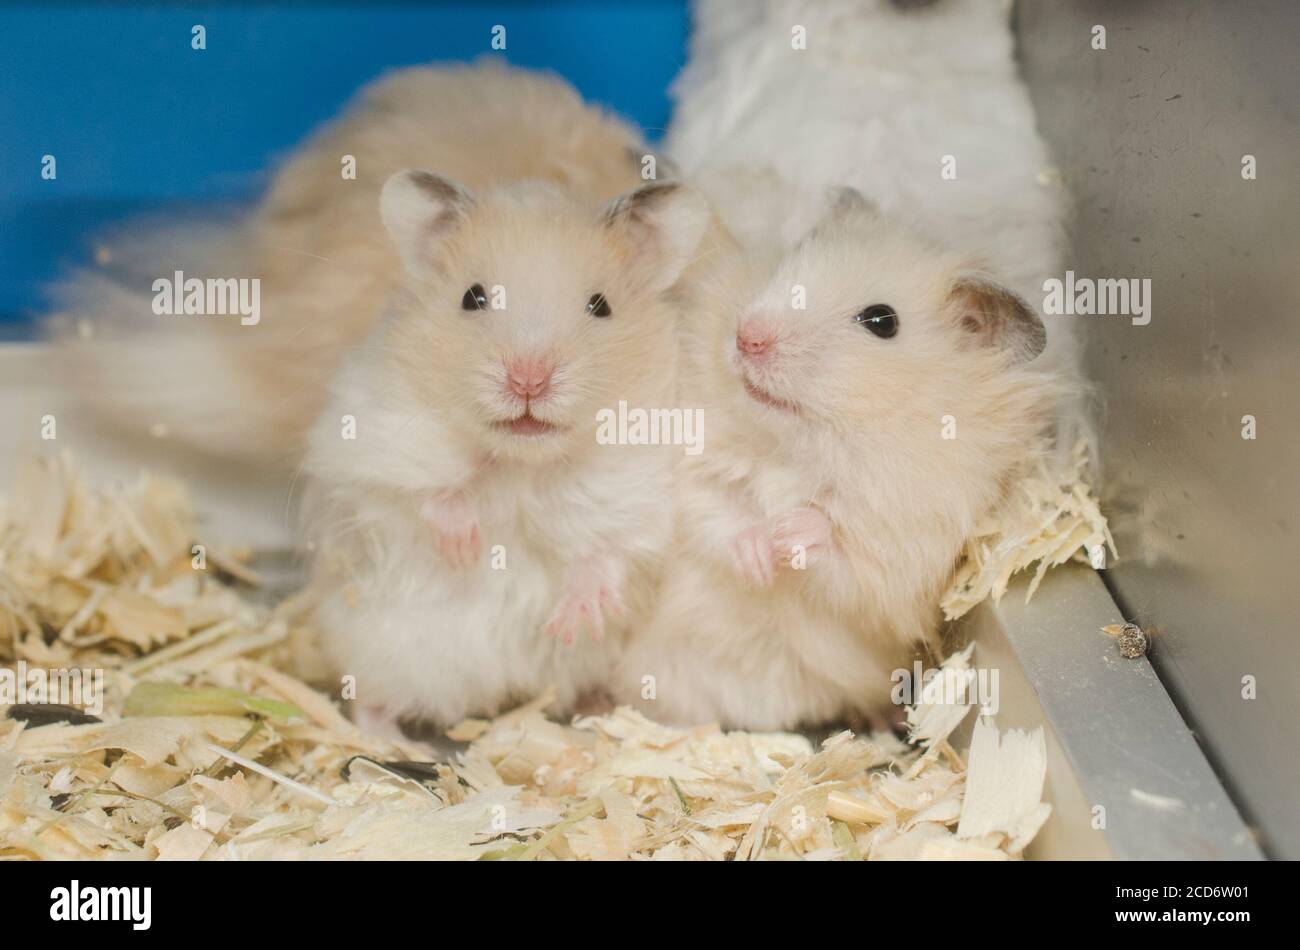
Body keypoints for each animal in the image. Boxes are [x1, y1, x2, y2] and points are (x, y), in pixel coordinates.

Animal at [302, 171, 708, 734]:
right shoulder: (366, 453)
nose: (529, 380)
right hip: (370, 647)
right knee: (369, 699)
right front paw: (465, 547)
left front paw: (569, 619)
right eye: (472, 298)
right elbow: (423, 497)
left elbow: (610, 551)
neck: (523, 466)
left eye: (600, 305)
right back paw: (391, 740)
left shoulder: (645, 496)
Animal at [615, 193, 1061, 731]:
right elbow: (717, 510)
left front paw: (790, 532)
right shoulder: (699, 467)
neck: (809, 447)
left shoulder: (902, 549)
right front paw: (759, 561)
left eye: (882, 321)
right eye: (787, 263)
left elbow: (846, 555)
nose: (747, 337)